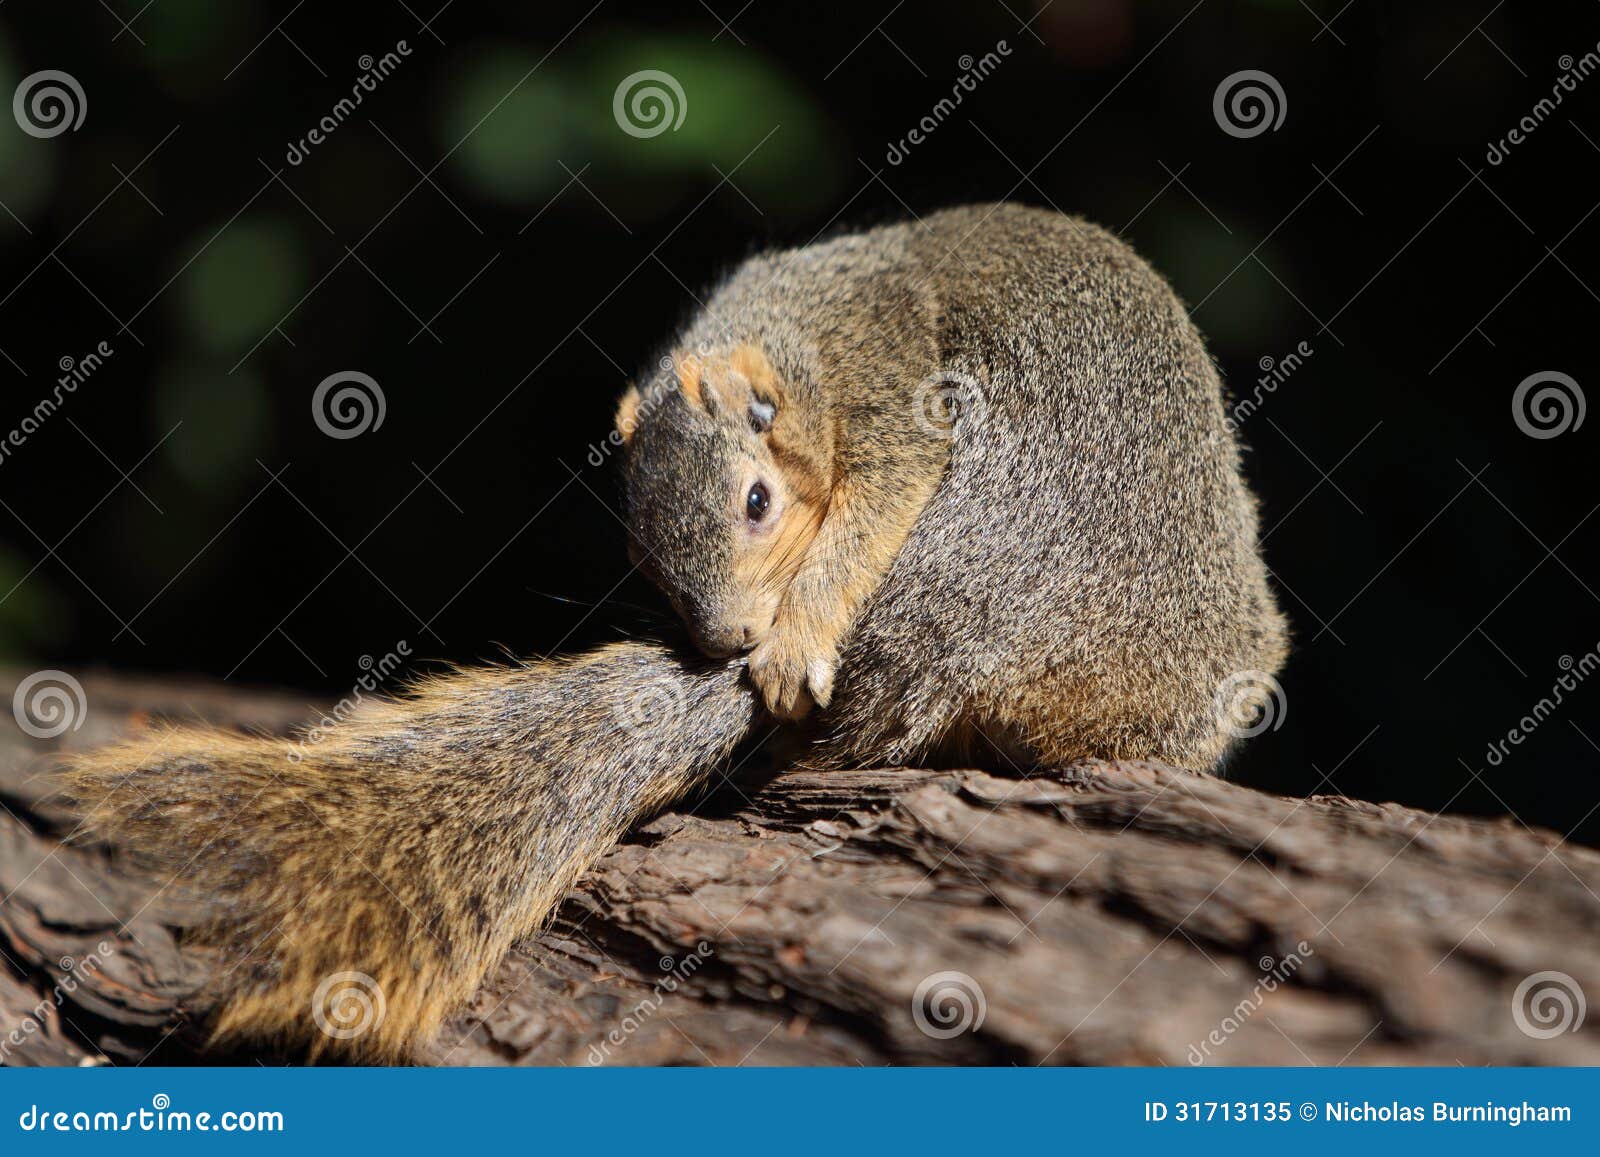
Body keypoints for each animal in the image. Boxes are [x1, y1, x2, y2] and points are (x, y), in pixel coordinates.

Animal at [62, 203, 1287, 1061]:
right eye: (643, 553)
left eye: (756, 502)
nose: (732, 635)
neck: (791, 330)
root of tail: (965, 631)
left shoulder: (886, 382)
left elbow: (879, 491)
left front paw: (794, 639)